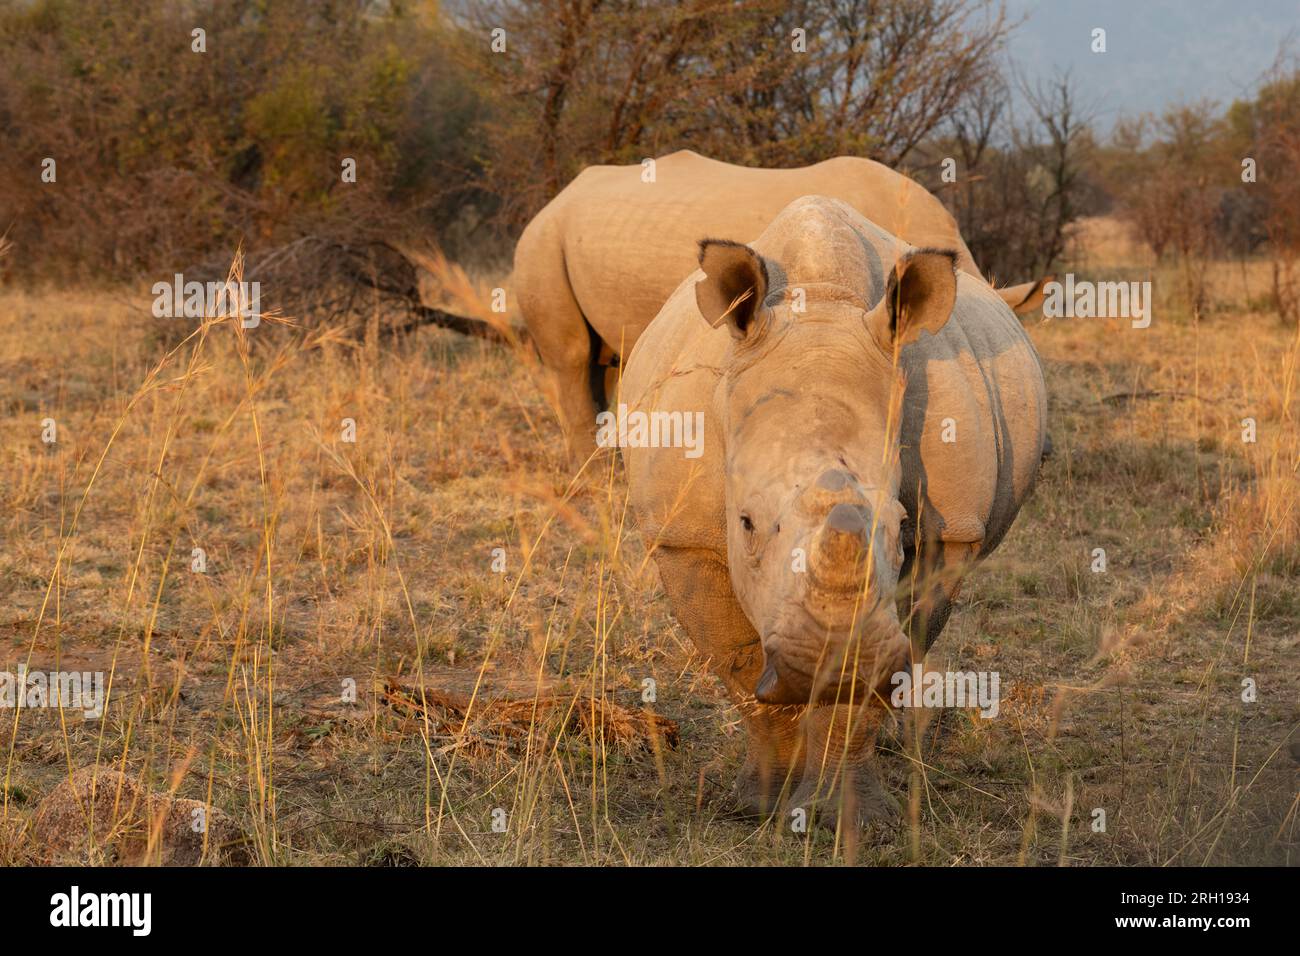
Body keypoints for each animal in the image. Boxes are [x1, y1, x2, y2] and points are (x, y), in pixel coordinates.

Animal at [513, 149, 1048, 463]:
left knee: (605, 359)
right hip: (541, 238)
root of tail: (558, 196)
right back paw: (592, 480)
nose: (1043, 454)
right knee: (573, 356)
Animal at [619, 195, 1048, 832]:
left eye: (902, 529)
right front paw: (761, 805)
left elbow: (866, 690)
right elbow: (743, 667)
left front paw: (850, 819)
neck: (821, 305)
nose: (836, 657)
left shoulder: (949, 536)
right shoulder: (684, 536)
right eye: (745, 523)